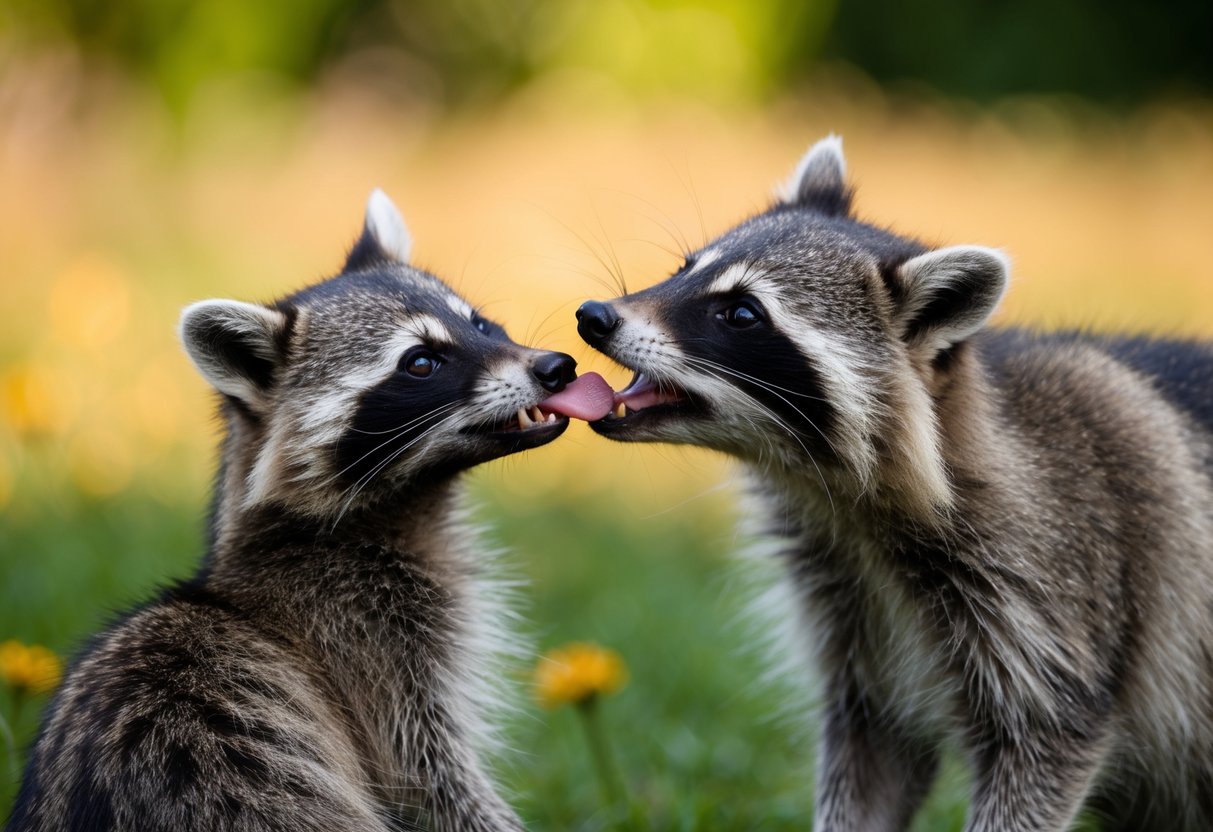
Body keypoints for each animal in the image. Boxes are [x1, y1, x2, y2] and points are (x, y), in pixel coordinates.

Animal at [7, 190, 597, 832]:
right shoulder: (371, 637)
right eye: (420, 362)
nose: (556, 366)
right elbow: (427, 777)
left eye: (481, 324)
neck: (410, 498)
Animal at [574, 137, 1213, 831]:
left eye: (741, 313)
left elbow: (1043, 748)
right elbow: (869, 752)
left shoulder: (1056, 594)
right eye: (684, 268)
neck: (841, 506)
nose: (594, 316)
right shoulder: (851, 621)